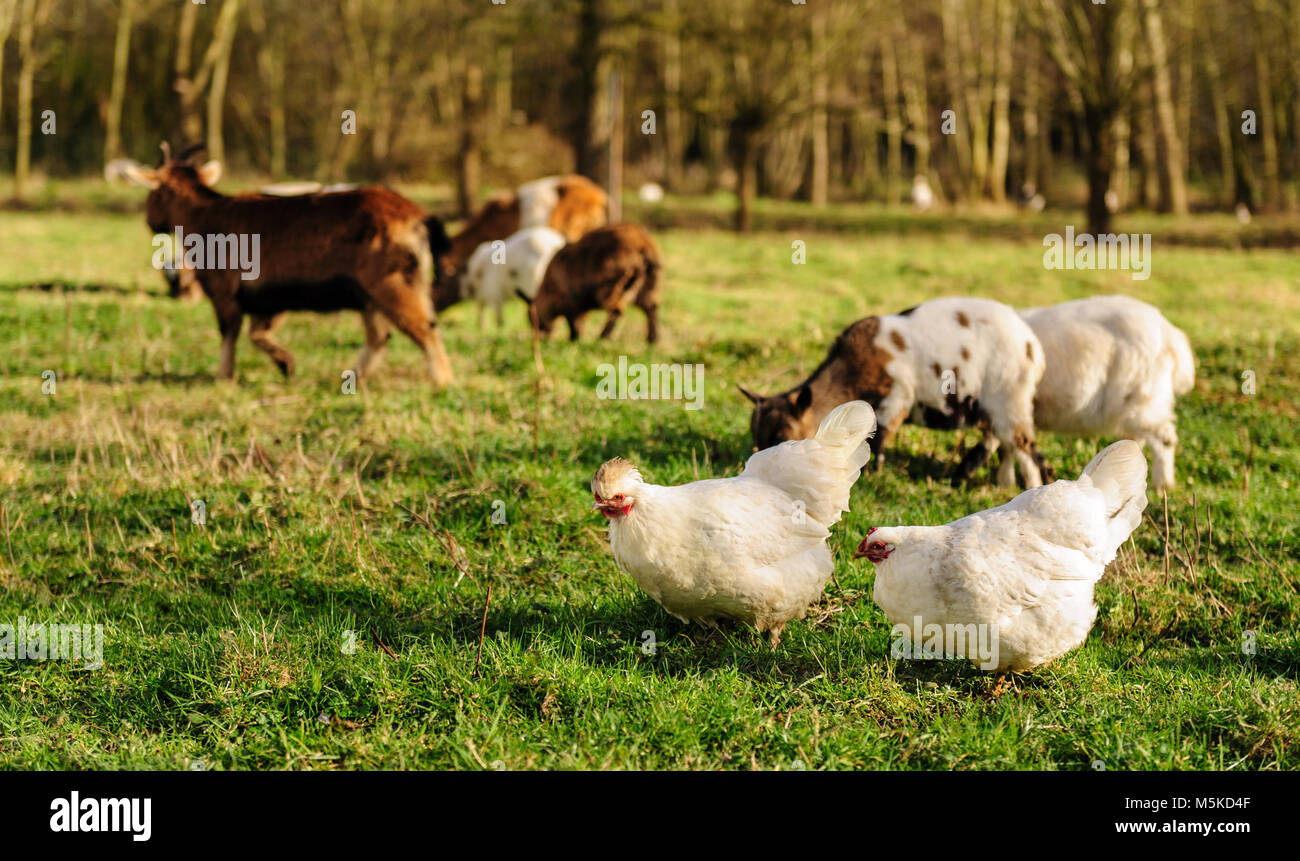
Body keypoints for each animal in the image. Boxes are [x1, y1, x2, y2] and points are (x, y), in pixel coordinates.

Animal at [125, 145, 453, 385]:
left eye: (153, 192)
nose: (150, 222)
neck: (204, 215)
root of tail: (419, 217)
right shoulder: (269, 296)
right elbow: (257, 332)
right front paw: (286, 365)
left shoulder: (225, 292)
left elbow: (230, 333)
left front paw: (223, 377)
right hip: (369, 294)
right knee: (380, 337)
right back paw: (355, 377)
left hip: (393, 281)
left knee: (424, 329)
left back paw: (442, 382)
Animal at [528, 223, 662, 344]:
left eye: (532, 320)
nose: (541, 337)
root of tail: (643, 245)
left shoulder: (570, 302)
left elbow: (574, 322)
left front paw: (574, 339)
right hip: (649, 285)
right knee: (651, 309)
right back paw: (652, 339)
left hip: (611, 288)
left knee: (617, 311)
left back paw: (602, 337)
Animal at [741, 297, 1048, 487]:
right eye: (756, 439)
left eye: (784, 438)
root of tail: (1033, 345)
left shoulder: (897, 396)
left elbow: (880, 437)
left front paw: (871, 475)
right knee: (1000, 439)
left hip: (1009, 395)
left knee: (1022, 445)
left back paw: (1028, 487)